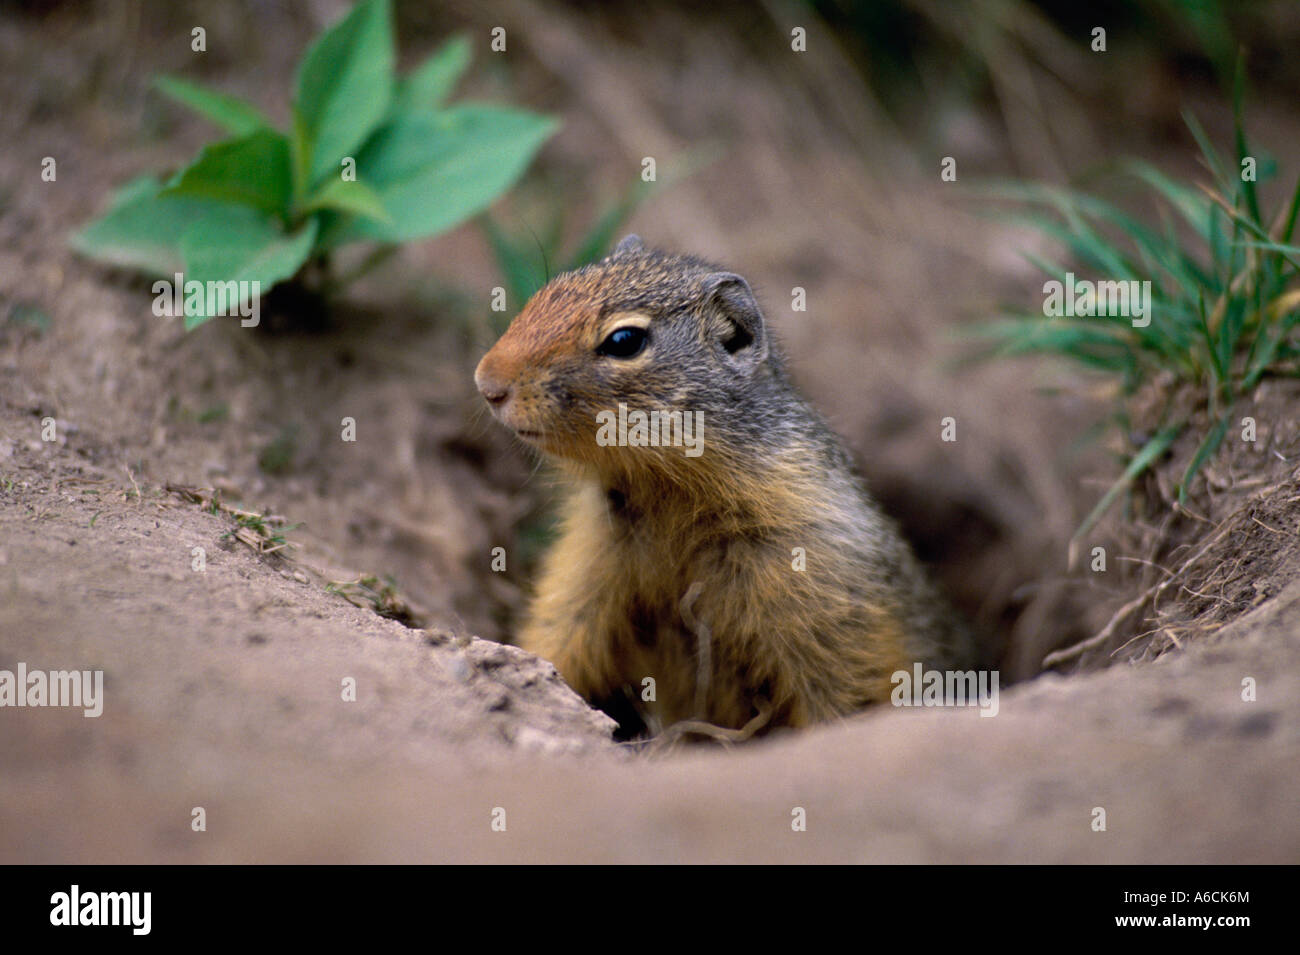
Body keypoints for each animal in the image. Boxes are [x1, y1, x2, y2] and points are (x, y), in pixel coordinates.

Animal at [474, 235, 974, 736]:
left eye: (625, 340)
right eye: (545, 293)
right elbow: (561, 637)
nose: (487, 382)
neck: (666, 496)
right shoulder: (587, 569)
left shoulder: (826, 600)